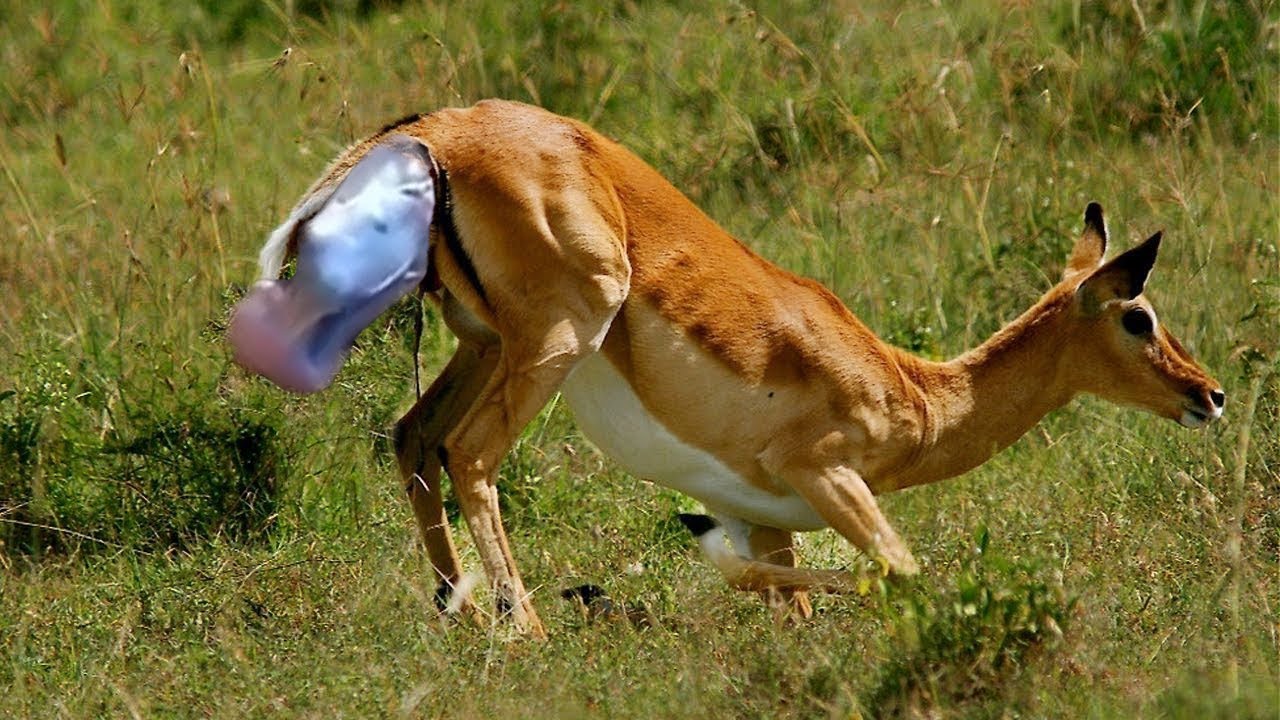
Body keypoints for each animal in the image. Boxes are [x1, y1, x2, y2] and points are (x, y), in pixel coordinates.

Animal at [234, 99, 1224, 637]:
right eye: (1138, 315)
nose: (1209, 394)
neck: (913, 392)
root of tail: (441, 129)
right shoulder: (822, 474)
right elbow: (900, 573)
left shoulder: (773, 518)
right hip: (557, 336)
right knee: (470, 455)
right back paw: (533, 627)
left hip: (485, 343)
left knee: (412, 437)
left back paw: (467, 615)